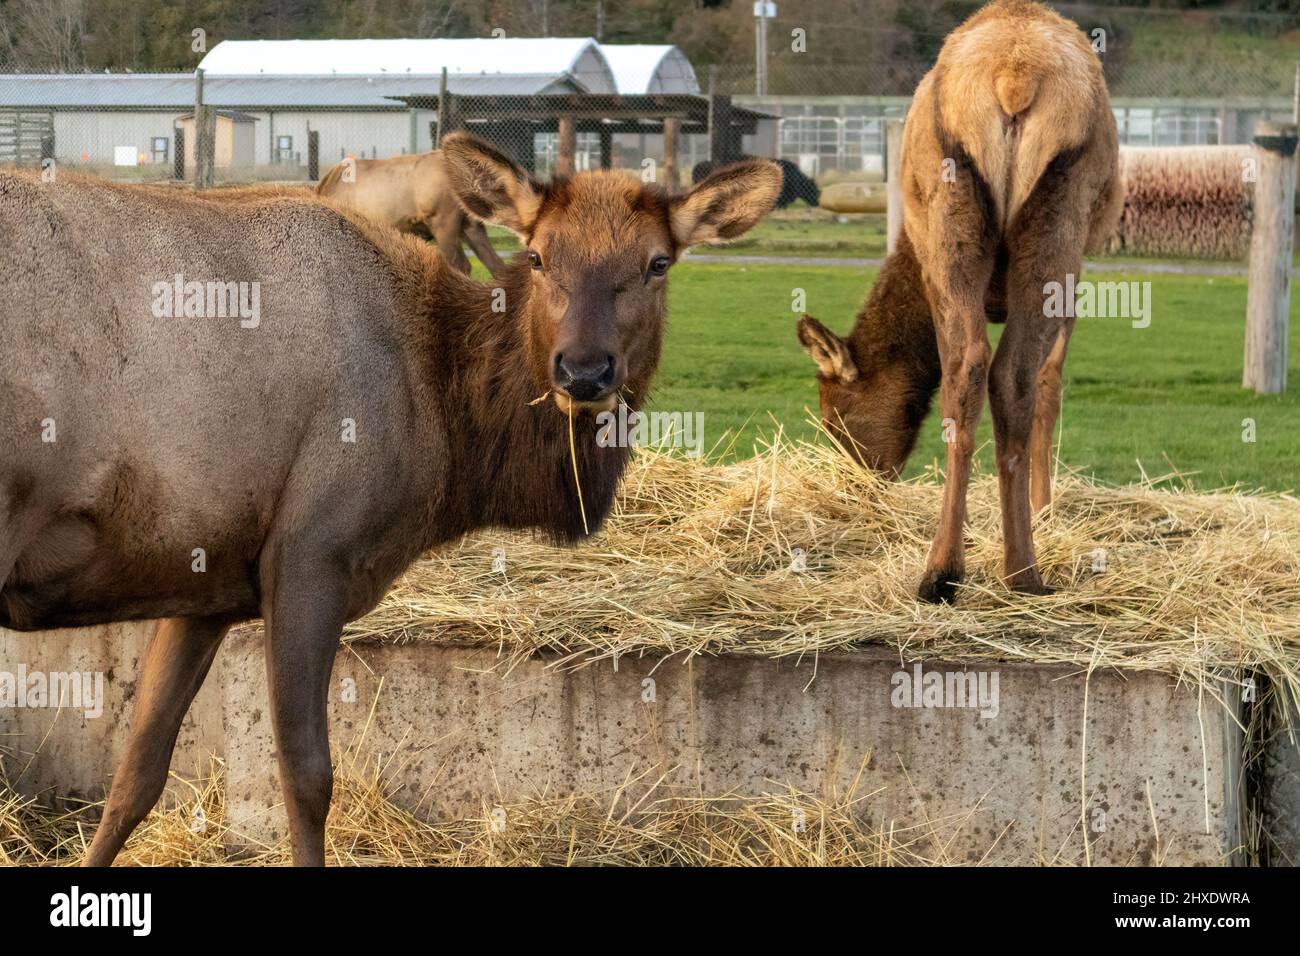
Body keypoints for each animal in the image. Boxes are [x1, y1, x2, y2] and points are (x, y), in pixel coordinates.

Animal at [798, 0, 1122, 604]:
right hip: (1050, 212)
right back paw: (989, 569)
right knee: (994, 371)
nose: (857, 489)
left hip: (960, 210)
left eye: (835, 416)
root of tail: (1014, 78)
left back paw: (971, 570)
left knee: (980, 370)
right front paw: (1042, 508)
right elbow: (1048, 384)